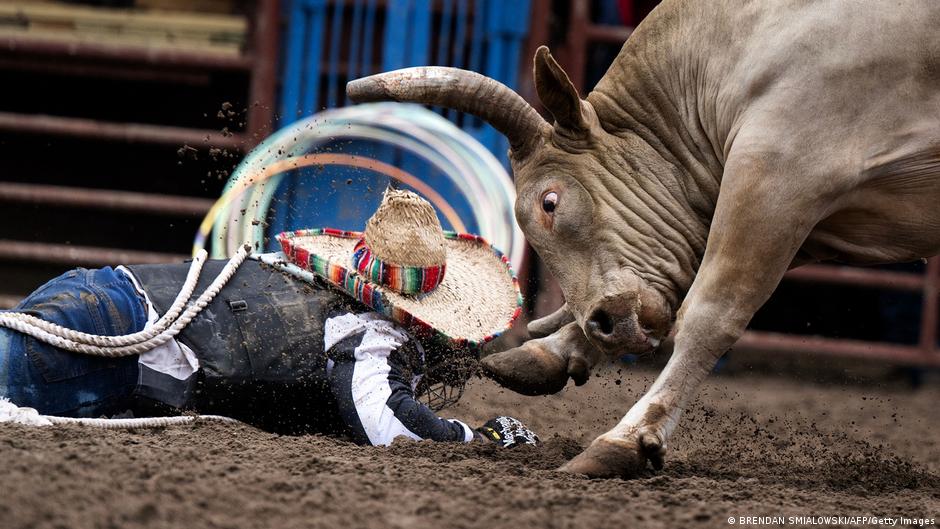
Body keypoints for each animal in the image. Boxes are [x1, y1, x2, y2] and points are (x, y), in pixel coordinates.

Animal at [347, 0, 940, 478]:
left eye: (549, 202)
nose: (607, 324)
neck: (736, 45)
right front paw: (550, 351)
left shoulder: (781, 172)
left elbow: (711, 313)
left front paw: (625, 440)